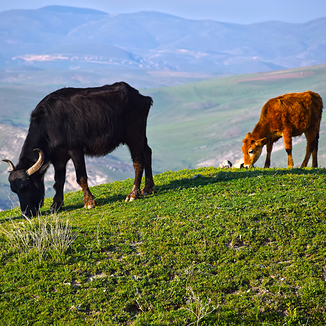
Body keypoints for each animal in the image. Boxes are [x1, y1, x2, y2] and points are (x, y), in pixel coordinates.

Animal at [2, 81, 155, 215]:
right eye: (14, 190)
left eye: (24, 186)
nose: (26, 213)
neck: (48, 125)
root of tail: (142, 97)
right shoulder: (59, 158)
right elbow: (59, 181)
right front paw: (56, 205)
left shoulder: (75, 151)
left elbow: (81, 177)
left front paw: (89, 202)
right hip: (141, 135)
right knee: (148, 152)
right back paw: (147, 188)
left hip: (134, 135)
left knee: (138, 161)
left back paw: (133, 194)